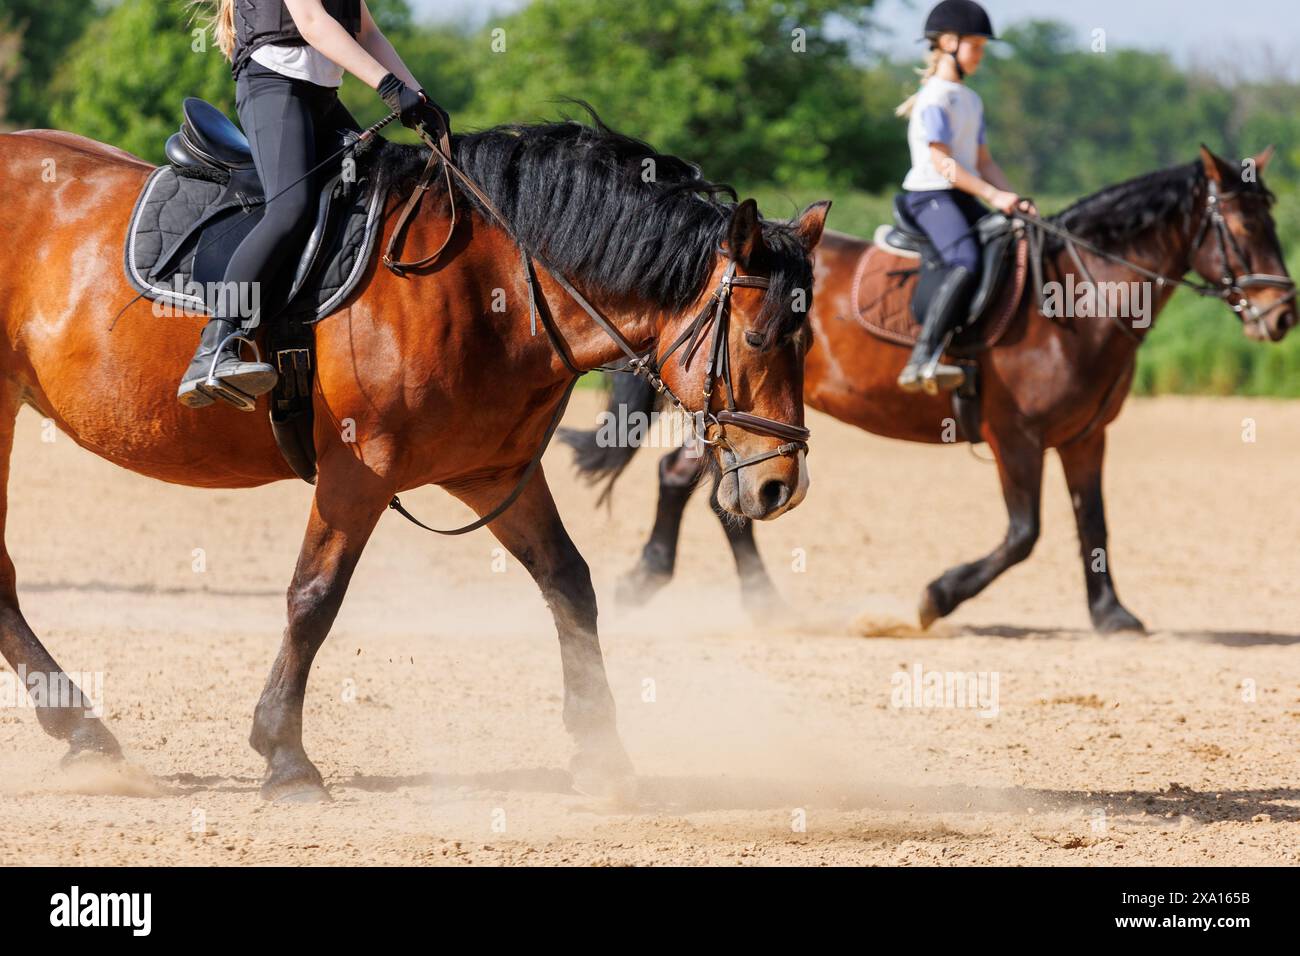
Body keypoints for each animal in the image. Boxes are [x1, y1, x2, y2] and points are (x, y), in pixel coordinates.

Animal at [0, 118, 830, 801]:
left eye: (806, 341)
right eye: (757, 338)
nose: (780, 486)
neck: (489, 284)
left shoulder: (492, 474)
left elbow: (569, 585)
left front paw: (602, 756)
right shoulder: (358, 470)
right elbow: (314, 598)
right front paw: (286, 758)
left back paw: (83, 733)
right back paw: (84, 730)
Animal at [562, 147, 1294, 634]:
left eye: (1272, 220)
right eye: (1243, 227)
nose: (1282, 314)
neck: (1073, 299)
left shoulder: (1086, 436)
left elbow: (1094, 522)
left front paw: (1112, 614)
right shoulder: (1015, 436)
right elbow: (1024, 534)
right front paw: (934, 598)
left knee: (703, 483)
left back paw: (694, 587)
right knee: (697, 481)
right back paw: (726, 595)